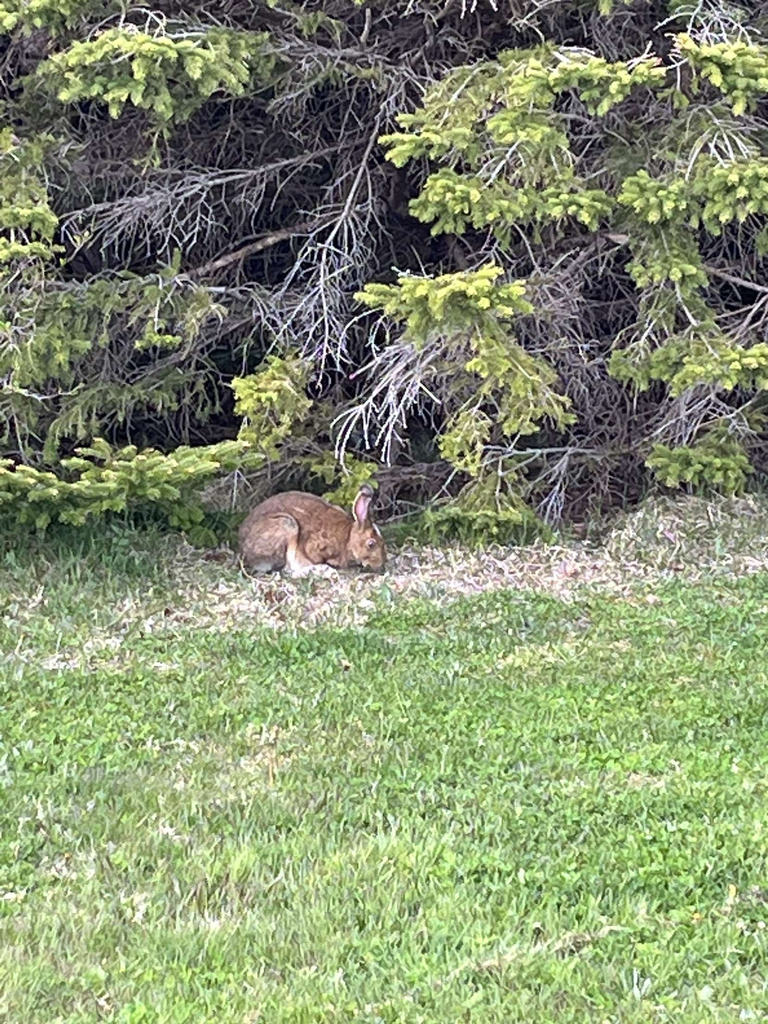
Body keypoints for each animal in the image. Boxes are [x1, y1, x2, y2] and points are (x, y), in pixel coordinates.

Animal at [238, 483, 386, 576]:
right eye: (371, 544)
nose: (381, 565)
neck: (349, 538)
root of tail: (244, 551)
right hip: (287, 525)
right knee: (287, 570)